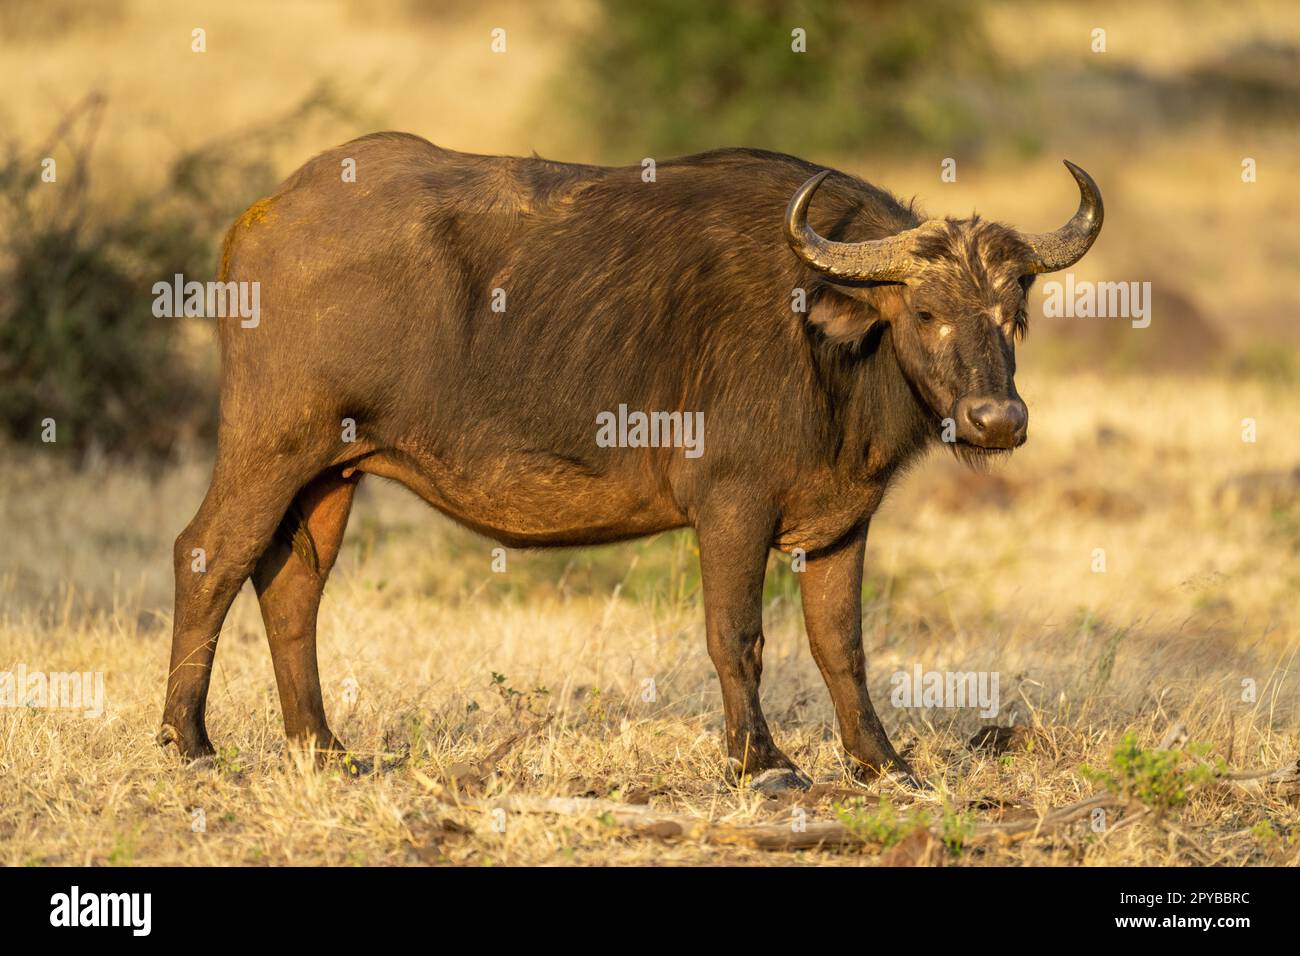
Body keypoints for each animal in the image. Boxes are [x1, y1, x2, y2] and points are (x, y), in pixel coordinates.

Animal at [159, 134, 1102, 789]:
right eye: (928, 311)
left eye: (1012, 312)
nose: (996, 420)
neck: (825, 339)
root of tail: (264, 216)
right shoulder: (732, 508)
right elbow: (738, 636)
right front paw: (763, 763)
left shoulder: (842, 519)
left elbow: (843, 645)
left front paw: (884, 762)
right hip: (271, 445)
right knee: (208, 555)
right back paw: (189, 743)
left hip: (334, 471)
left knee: (292, 585)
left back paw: (322, 748)